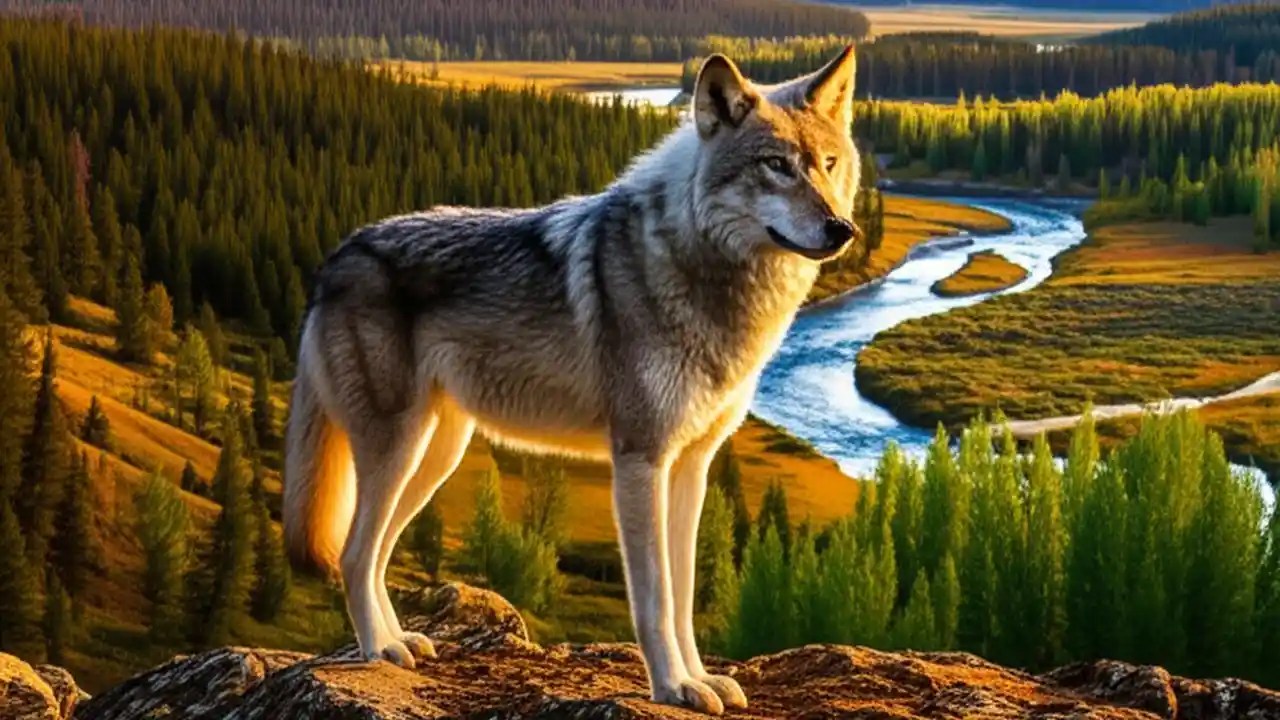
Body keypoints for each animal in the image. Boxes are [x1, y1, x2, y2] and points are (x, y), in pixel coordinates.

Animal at [283, 47, 862, 714]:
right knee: (353, 553)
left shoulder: (691, 466)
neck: (700, 268)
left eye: (827, 164)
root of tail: (336, 257)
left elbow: (684, 597)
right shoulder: (640, 460)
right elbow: (654, 599)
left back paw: (398, 642)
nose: (842, 228)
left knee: (374, 554)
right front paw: (672, 687)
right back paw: (379, 651)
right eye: (776, 166)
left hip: (435, 455)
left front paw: (700, 679)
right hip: (398, 449)